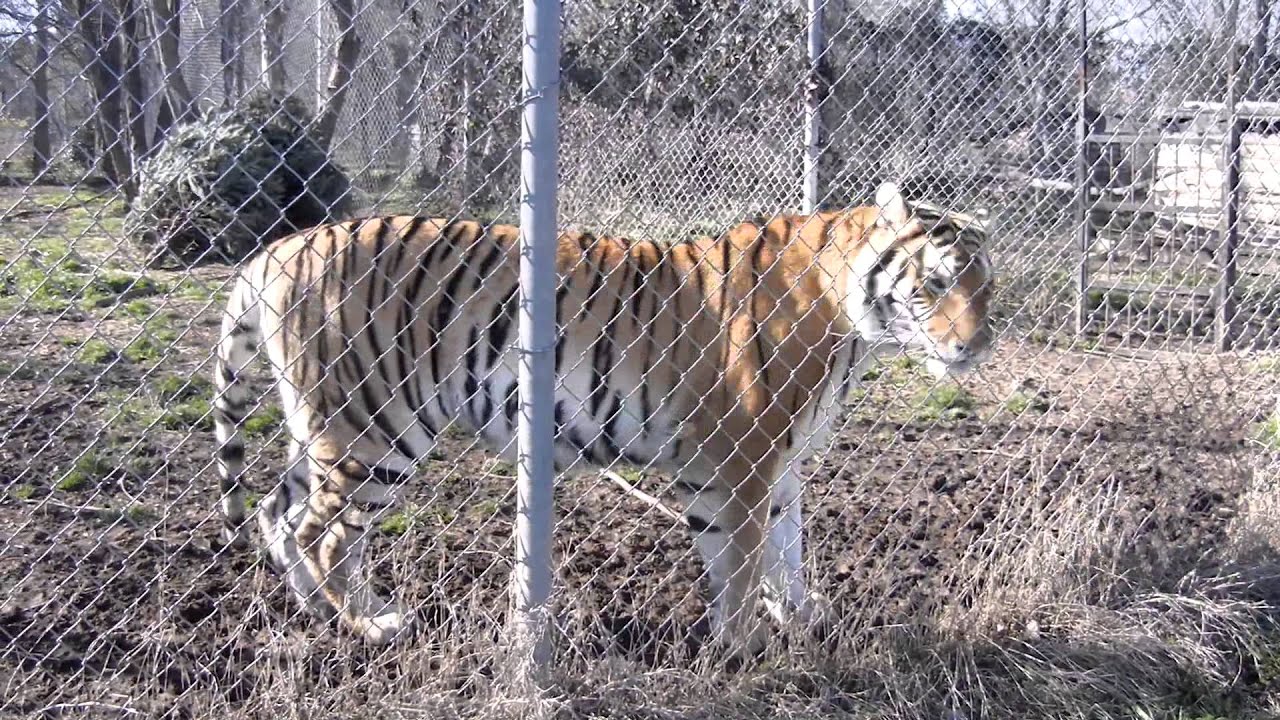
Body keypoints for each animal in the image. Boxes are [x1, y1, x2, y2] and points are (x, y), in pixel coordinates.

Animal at [210, 181, 995, 659]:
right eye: (934, 283)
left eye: (986, 283)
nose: (976, 346)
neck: (857, 327)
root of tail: (276, 248)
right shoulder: (743, 455)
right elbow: (743, 561)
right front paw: (742, 649)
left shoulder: (766, 462)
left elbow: (782, 548)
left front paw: (798, 619)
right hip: (378, 424)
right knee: (324, 534)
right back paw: (371, 624)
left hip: (321, 425)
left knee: (279, 510)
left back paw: (313, 614)